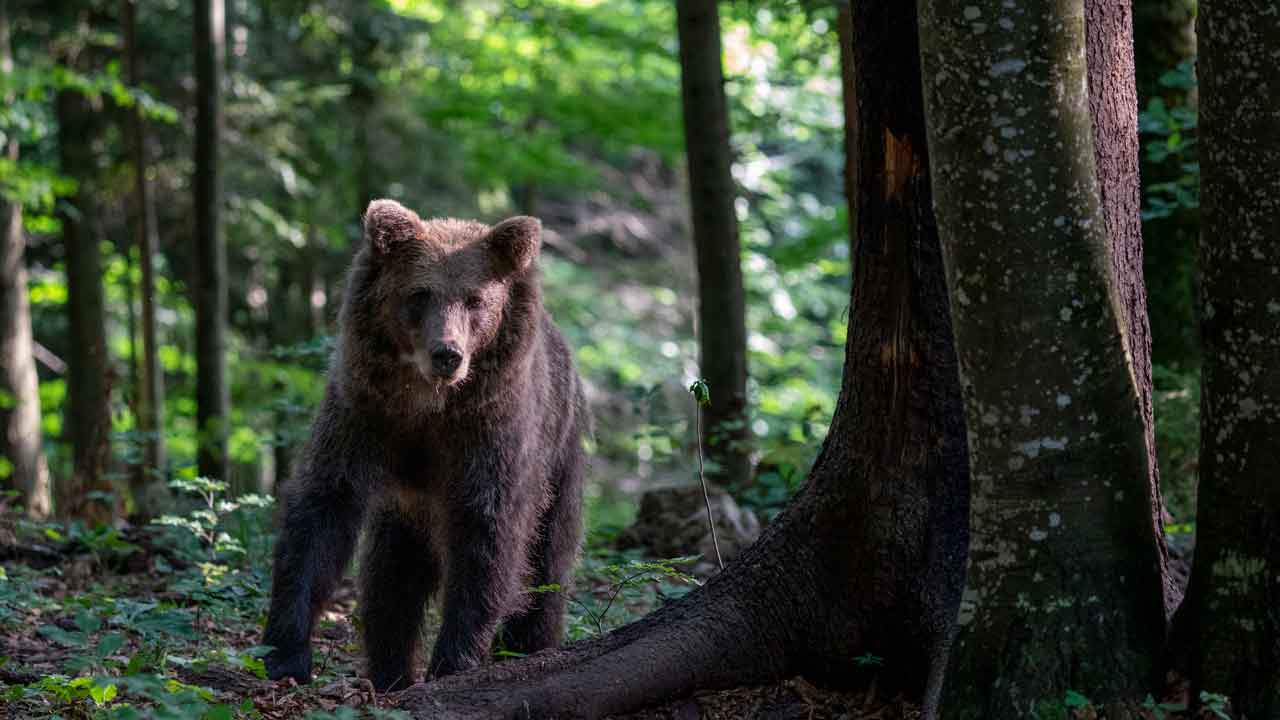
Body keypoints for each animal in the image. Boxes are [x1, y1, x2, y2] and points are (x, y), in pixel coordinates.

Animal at [261, 199, 588, 691]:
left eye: (476, 299)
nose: (447, 354)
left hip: (560, 457)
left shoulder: (489, 432)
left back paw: (529, 646)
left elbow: (488, 535)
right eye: (419, 294)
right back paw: (390, 671)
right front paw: (286, 652)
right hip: (404, 509)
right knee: (391, 577)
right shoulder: (364, 415)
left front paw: (454, 660)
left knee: (547, 566)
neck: (428, 406)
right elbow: (324, 509)